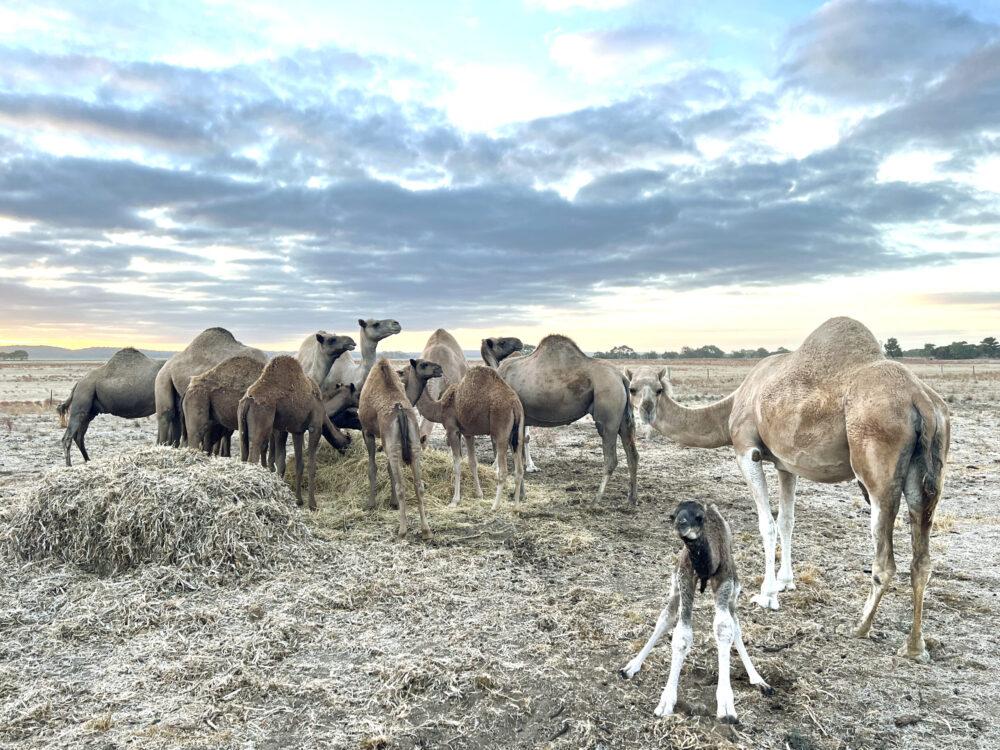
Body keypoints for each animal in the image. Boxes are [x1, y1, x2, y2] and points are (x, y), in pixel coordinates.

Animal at [238, 356, 351, 510]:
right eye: (348, 441)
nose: (348, 451)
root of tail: (247, 401)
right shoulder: (315, 426)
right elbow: (311, 466)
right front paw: (312, 504)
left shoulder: (295, 431)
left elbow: (295, 464)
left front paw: (298, 500)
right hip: (261, 427)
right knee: (253, 456)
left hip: (242, 430)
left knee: (244, 455)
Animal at [358, 358, 441, 539]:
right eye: (423, 364)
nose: (440, 368)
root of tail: (401, 411)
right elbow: (389, 470)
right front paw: (392, 502)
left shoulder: (367, 431)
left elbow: (372, 467)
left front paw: (371, 504)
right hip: (414, 447)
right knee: (418, 486)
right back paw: (426, 530)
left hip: (394, 447)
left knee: (401, 486)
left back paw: (402, 531)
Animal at [418, 365, 526, 509]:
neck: (439, 408)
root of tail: (515, 404)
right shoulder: (468, 433)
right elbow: (472, 462)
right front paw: (479, 494)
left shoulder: (452, 430)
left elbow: (457, 464)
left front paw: (454, 500)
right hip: (517, 434)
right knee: (519, 470)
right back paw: (516, 507)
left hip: (501, 432)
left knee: (503, 471)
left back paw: (495, 506)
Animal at [482, 334, 638, 505]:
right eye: (502, 342)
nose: (519, 342)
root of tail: (622, 377)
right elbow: (520, 453)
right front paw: (520, 494)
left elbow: (517, 455)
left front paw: (519, 495)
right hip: (623, 418)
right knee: (632, 454)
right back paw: (632, 498)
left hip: (608, 413)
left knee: (611, 459)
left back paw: (596, 499)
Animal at [642, 317, 949, 662]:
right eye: (633, 388)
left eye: (657, 389)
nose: (644, 409)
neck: (737, 400)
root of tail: (920, 400)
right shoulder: (786, 464)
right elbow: (787, 521)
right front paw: (786, 582)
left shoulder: (746, 449)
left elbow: (766, 523)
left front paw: (766, 595)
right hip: (927, 481)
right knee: (922, 559)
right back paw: (915, 646)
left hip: (878, 472)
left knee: (885, 560)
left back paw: (859, 627)